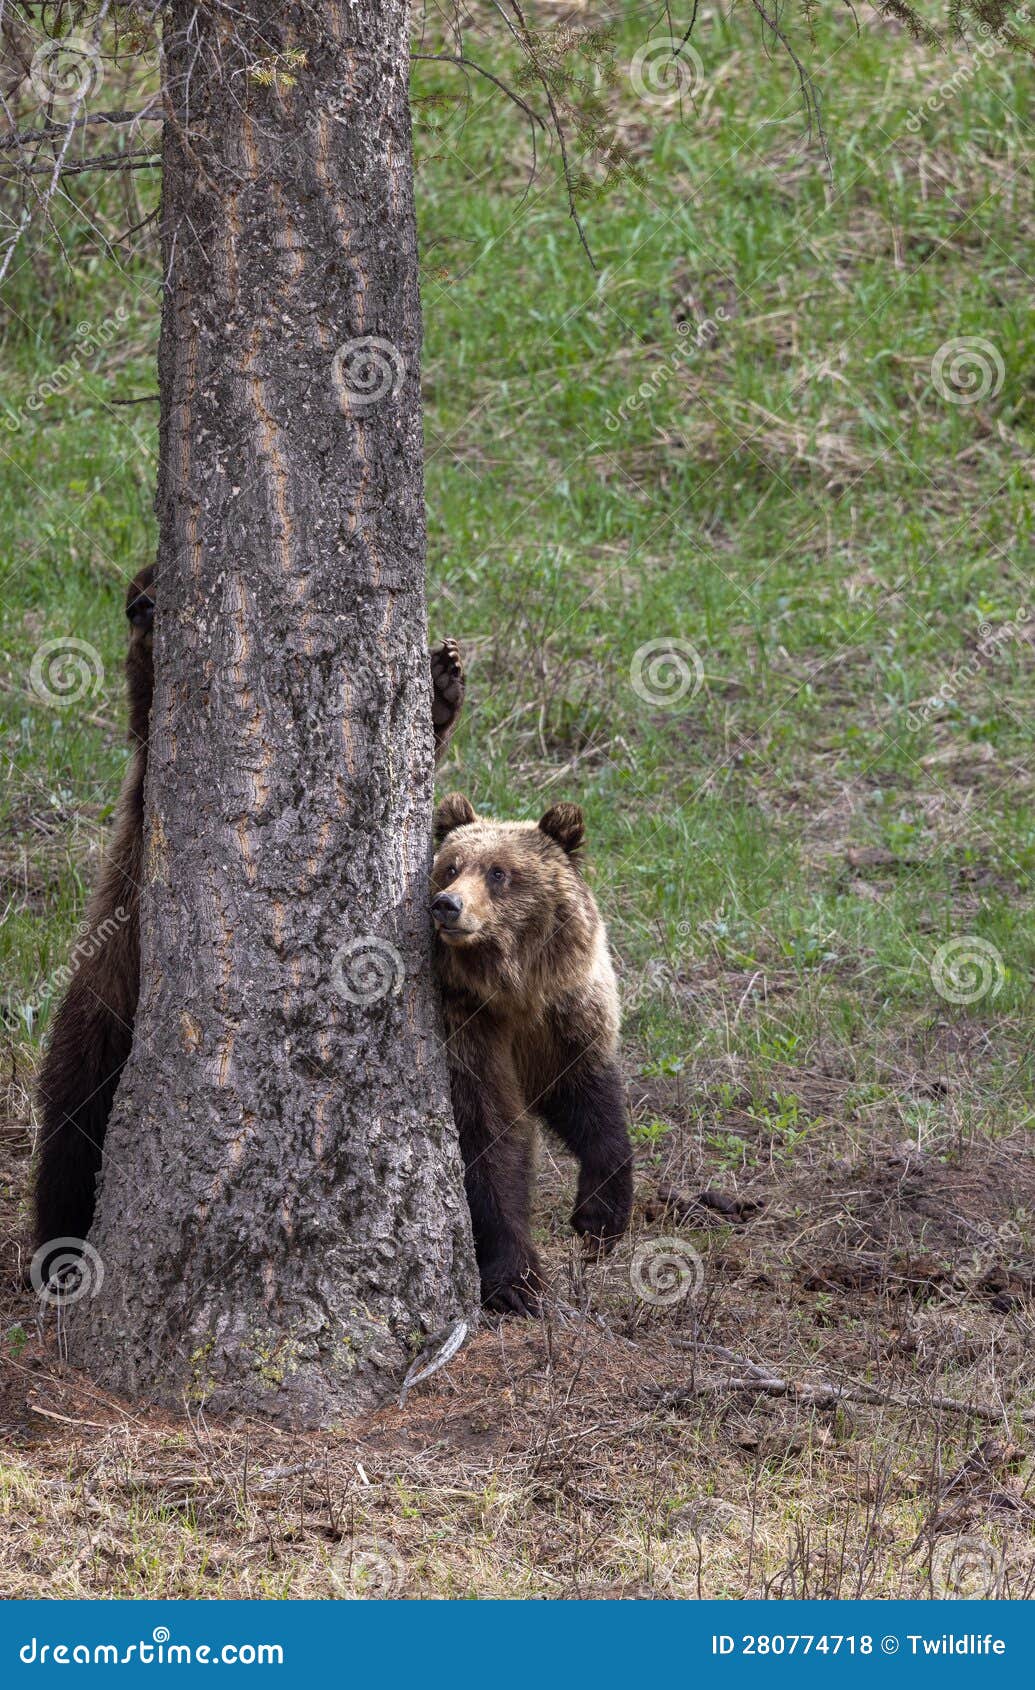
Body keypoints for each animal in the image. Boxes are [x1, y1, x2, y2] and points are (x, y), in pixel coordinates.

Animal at [430, 792, 633, 1314]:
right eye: (450, 867)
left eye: (499, 872)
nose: (447, 905)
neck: (512, 993)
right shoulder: (469, 1031)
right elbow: (490, 1137)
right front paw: (516, 1282)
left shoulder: (565, 1018)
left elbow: (590, 1100)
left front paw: (599, 1218)